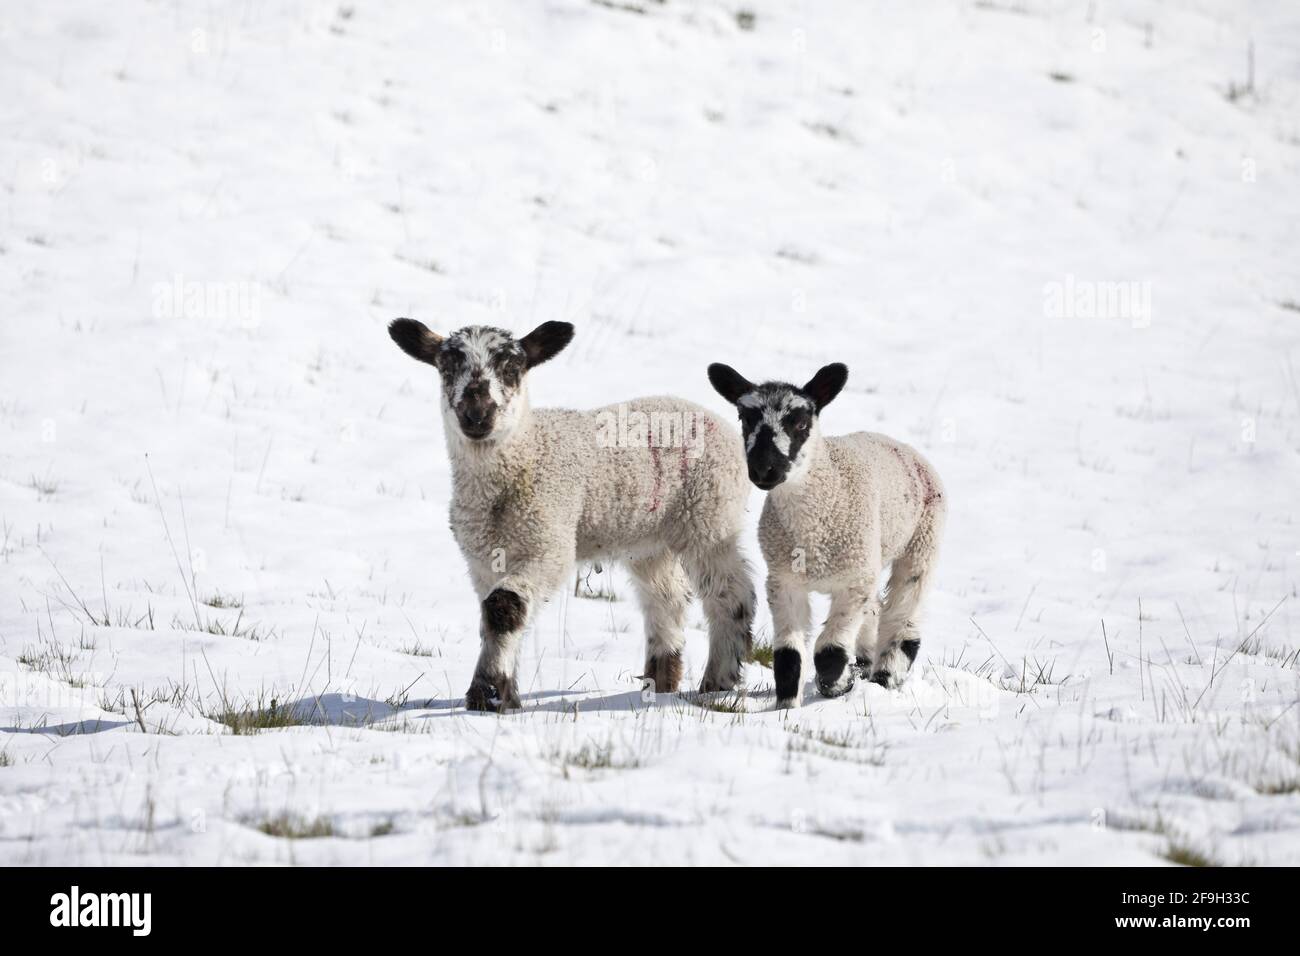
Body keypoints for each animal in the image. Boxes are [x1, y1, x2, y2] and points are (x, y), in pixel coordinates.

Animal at [388, 318, 756, 712]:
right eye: (446, 367)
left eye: (512, 368)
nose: (477, 415)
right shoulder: (483, 560)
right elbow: (493, 616)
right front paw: (506, 693)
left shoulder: (549, 543)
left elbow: (504, 608)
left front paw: (487, 694)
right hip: (648, 540)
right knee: (667, 600)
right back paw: (660, 680)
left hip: (709, 517)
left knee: (729, 595)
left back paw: (716, 682)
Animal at [707, 361, 946, 708]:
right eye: (744, 419)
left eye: (801, 422)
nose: (764, 469)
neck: (813, 531)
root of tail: (903, 447)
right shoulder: (783, 579)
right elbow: (788, 656)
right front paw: (786, 707)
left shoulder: (852, 581)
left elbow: (829, 652)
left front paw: (839, 685)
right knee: (875, 610)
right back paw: (864, 665)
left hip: (922, 539)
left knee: (903, 613)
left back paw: (884, 677)